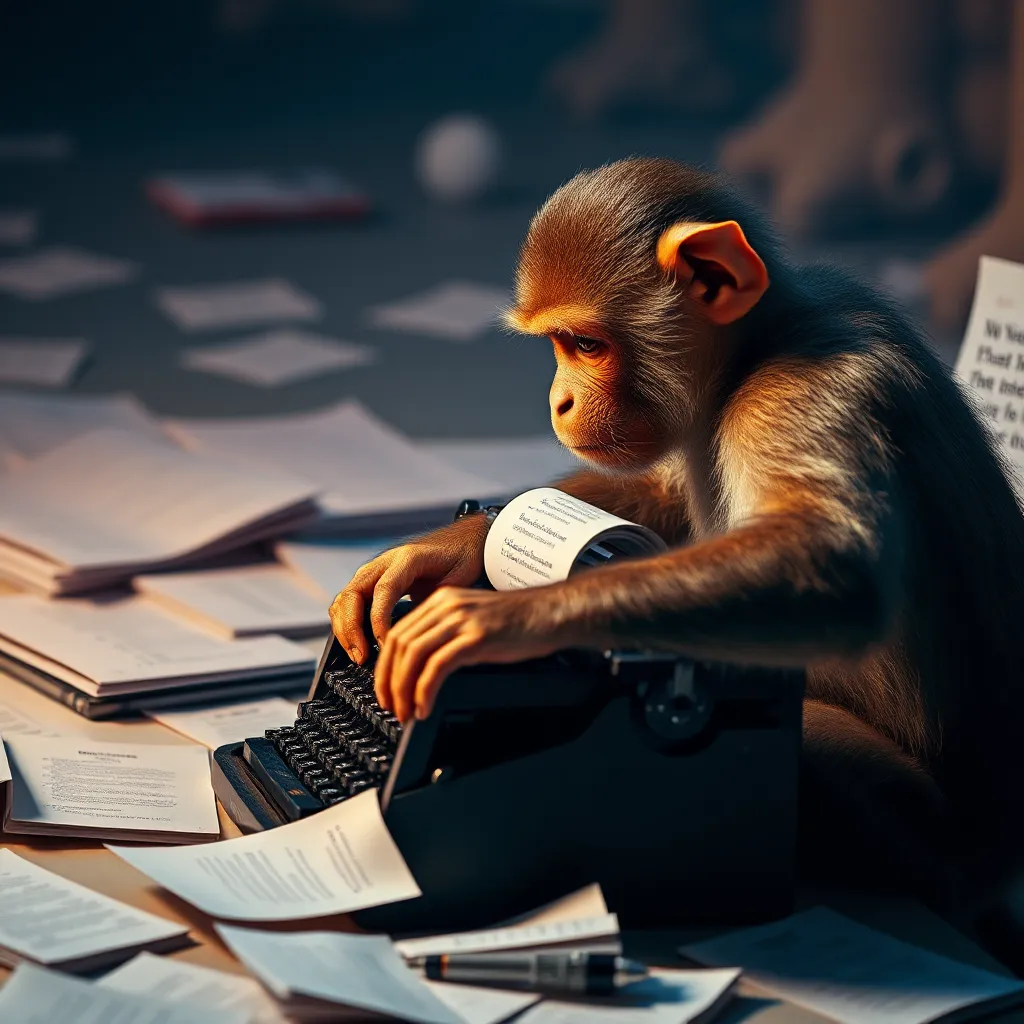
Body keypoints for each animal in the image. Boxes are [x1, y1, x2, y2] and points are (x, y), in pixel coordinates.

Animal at [331, 158, 1024, 939]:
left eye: (587, 346)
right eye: (557, 348)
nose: (558, 401)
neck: (755, 353)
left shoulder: (806, 390)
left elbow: (832, 563)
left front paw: (496, 619)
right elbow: (663, 496)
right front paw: (444, 547)